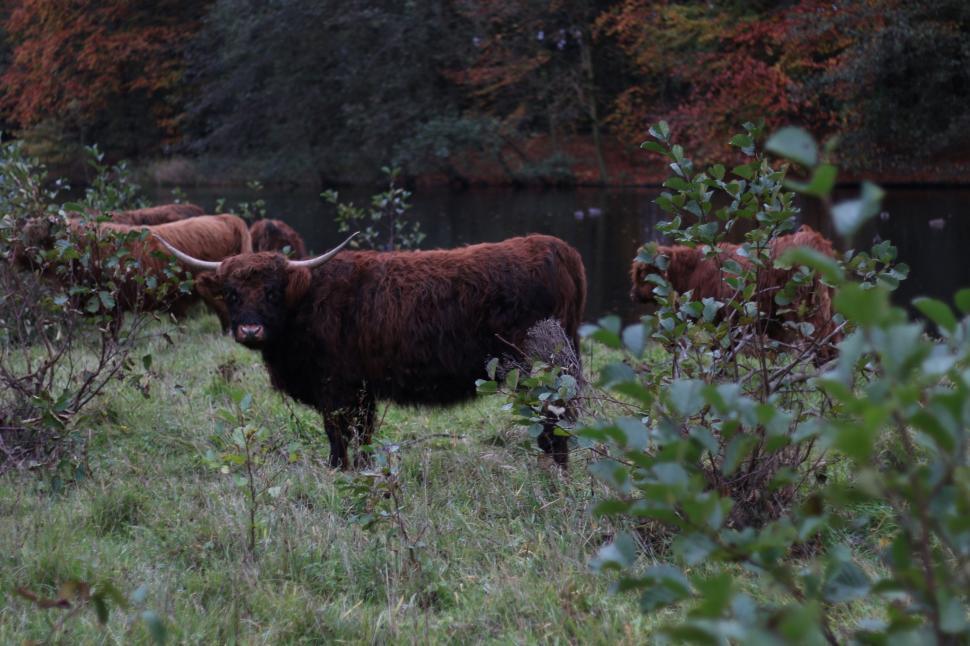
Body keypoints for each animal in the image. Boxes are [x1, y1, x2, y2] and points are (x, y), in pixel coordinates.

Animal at [156, 233, 588, 469]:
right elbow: (361, 434)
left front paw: (338, 471)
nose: (250, 329)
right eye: (231, 293)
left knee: (554, 420)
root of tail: (555, 247)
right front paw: (363, 470)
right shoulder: (361, 389)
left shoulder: (336, 387)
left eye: (272, 291)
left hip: (540, 369)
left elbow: (337, 434)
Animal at [630, 225, 841, 361]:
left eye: (643, 273)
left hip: (805, 308)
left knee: (821, 343)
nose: (633, 294)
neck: (693, 270)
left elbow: (721, 353)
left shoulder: (718, 318)